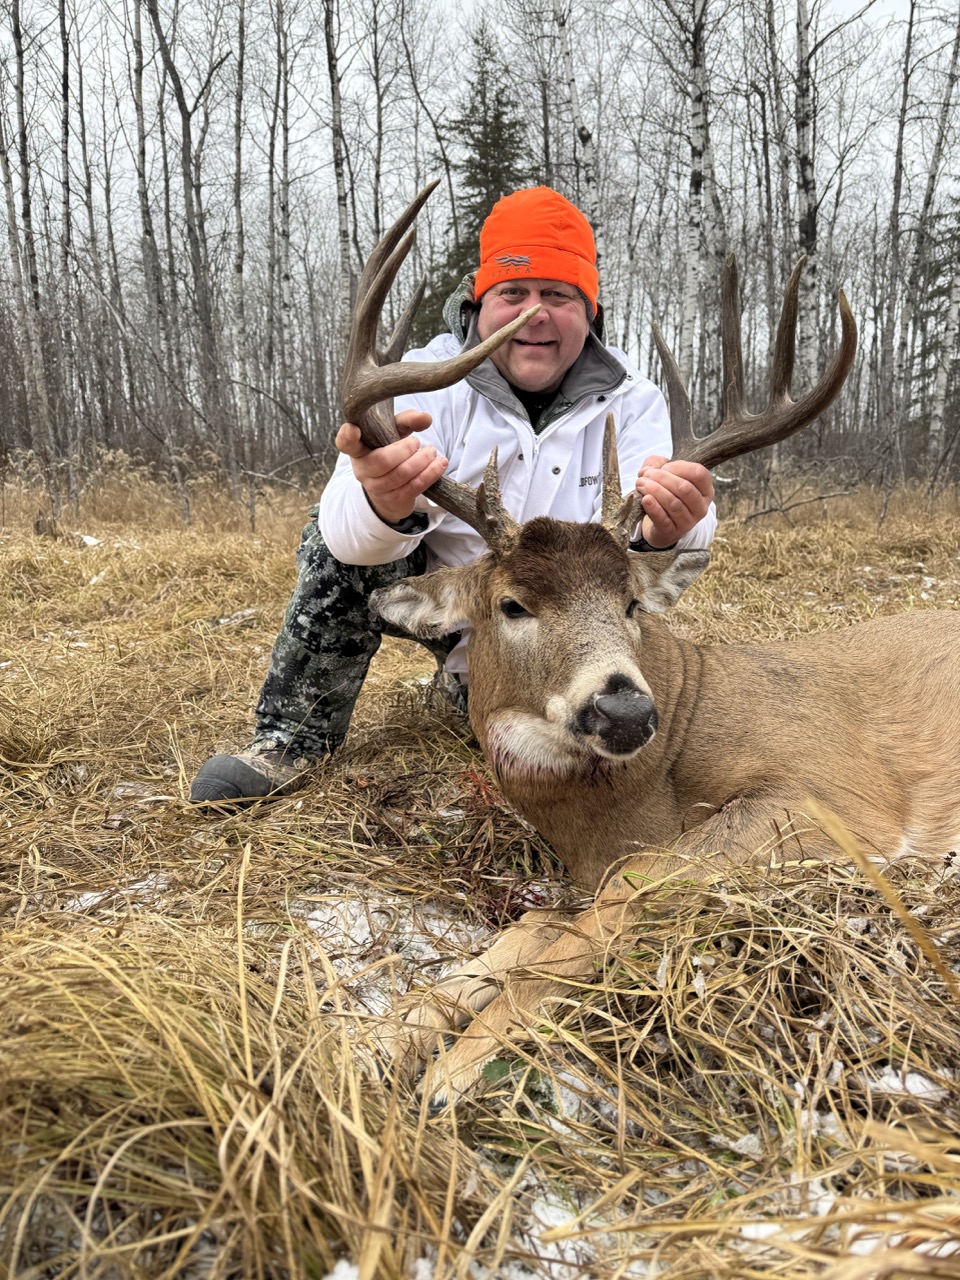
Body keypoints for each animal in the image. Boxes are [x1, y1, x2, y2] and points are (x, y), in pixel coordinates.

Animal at [340, 185, 960, 1104]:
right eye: (512, 604)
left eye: (631, 602)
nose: (625, 706)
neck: (622, 811)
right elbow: (533, 923)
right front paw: (381, 1036)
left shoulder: (830, 797)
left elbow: (609, 905)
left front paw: (454, 1065)